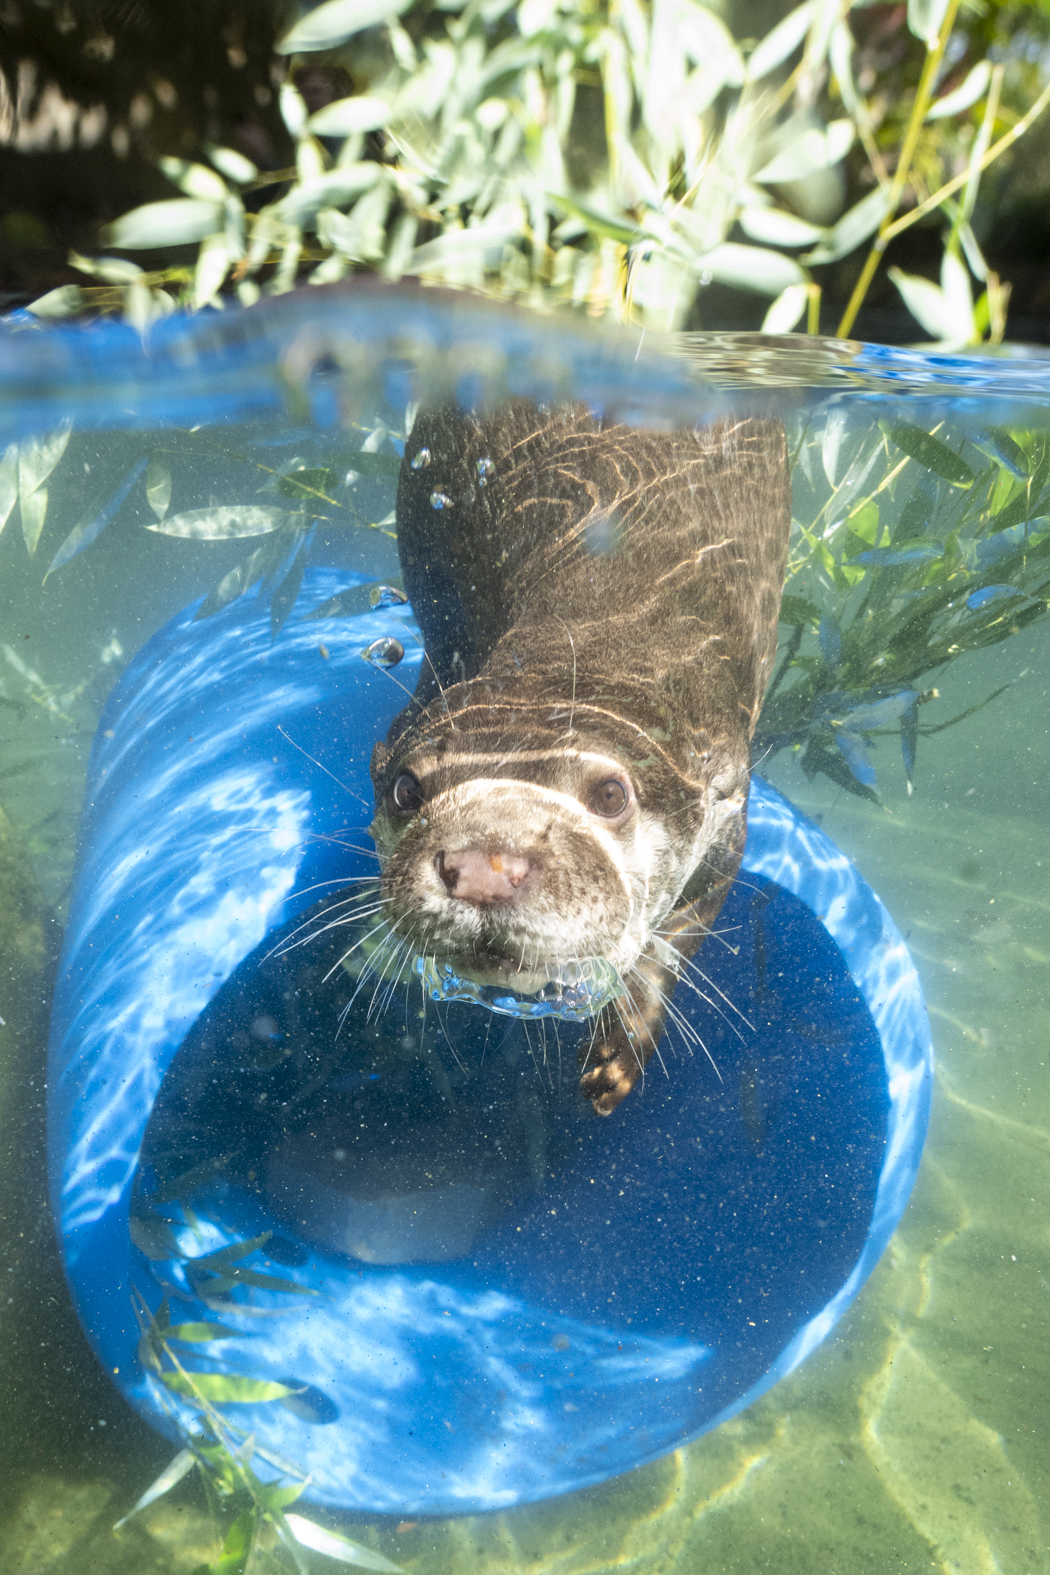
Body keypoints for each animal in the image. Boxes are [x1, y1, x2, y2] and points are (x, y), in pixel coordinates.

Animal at [368, 401, 791, 1115]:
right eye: (405, 790)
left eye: (611, 795)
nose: (483, 870)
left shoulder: (728, 800)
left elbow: (676, 935)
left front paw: (621, 1044)